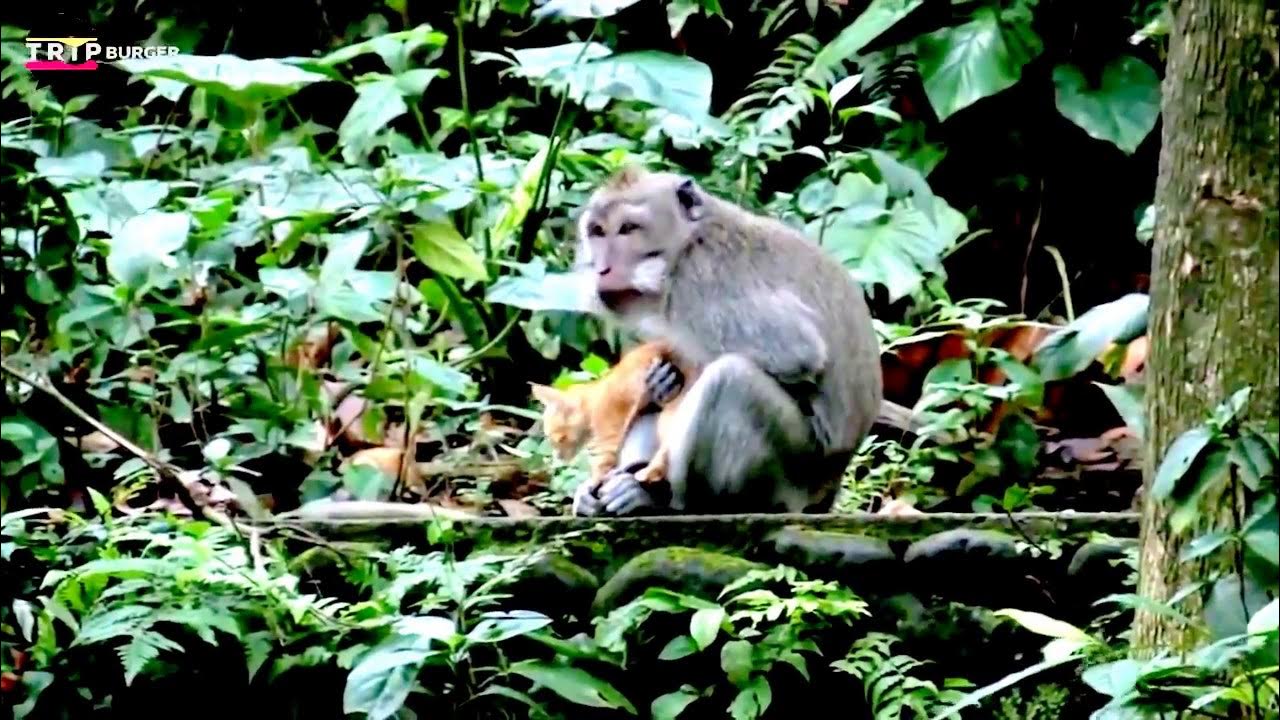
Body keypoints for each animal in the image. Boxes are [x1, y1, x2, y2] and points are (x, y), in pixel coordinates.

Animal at [569, 166, 883, 516]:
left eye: (628, 229)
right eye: (598, 232)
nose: (603, 269)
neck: (688, 242)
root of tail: (827, 491)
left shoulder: (697, 284)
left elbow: (796, 351)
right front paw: (657, 384)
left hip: (793, 472)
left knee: (731, 378)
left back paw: (669, 500)